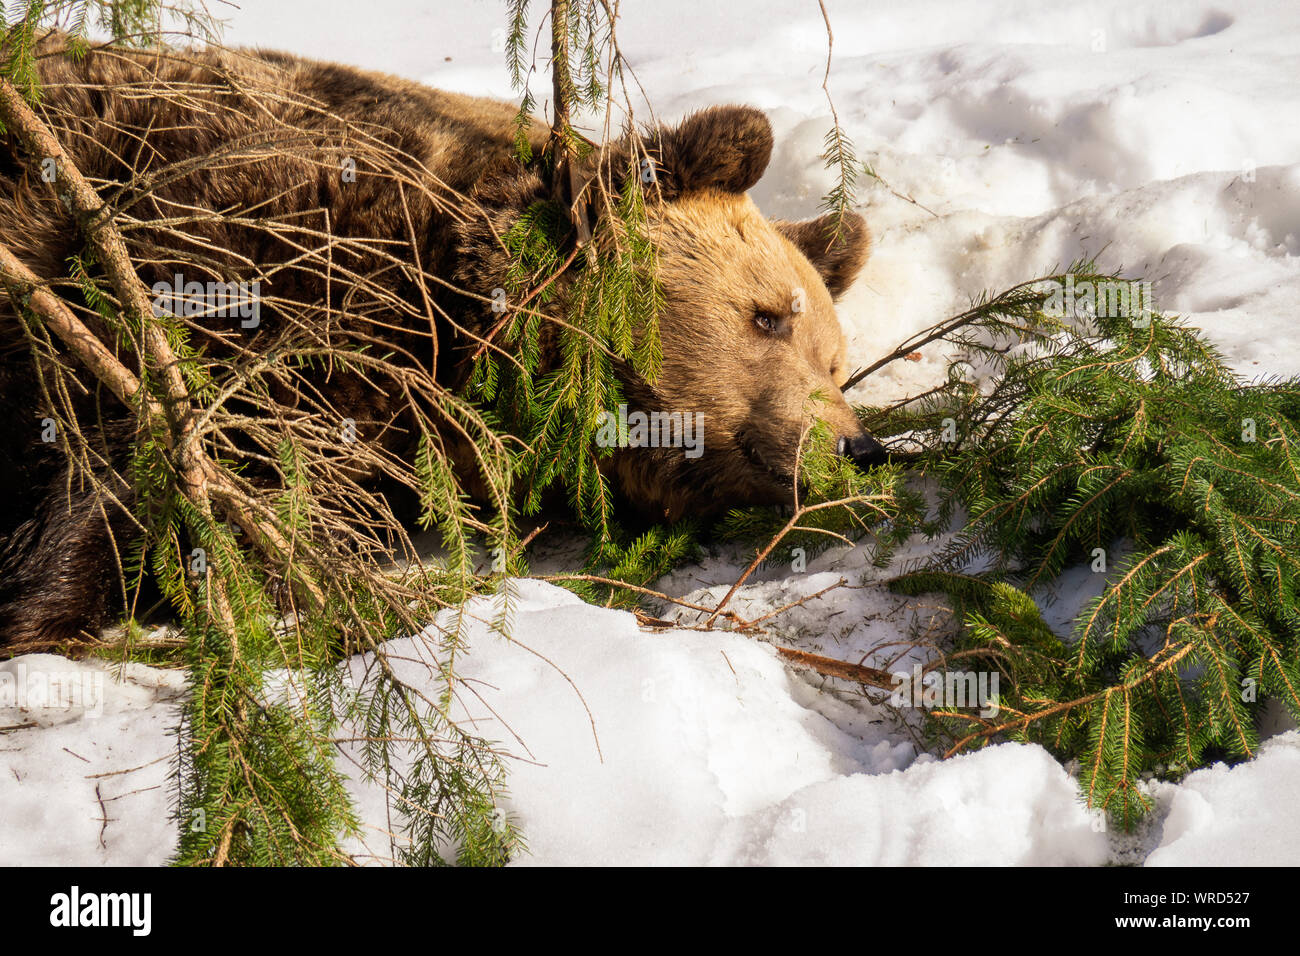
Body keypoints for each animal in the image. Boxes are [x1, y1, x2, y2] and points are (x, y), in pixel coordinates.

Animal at [0, 33, 884, 653]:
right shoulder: (234, 234)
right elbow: (143, 418)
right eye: (767, 316)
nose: (857, 446)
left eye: (836, 365)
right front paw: (45, 603)